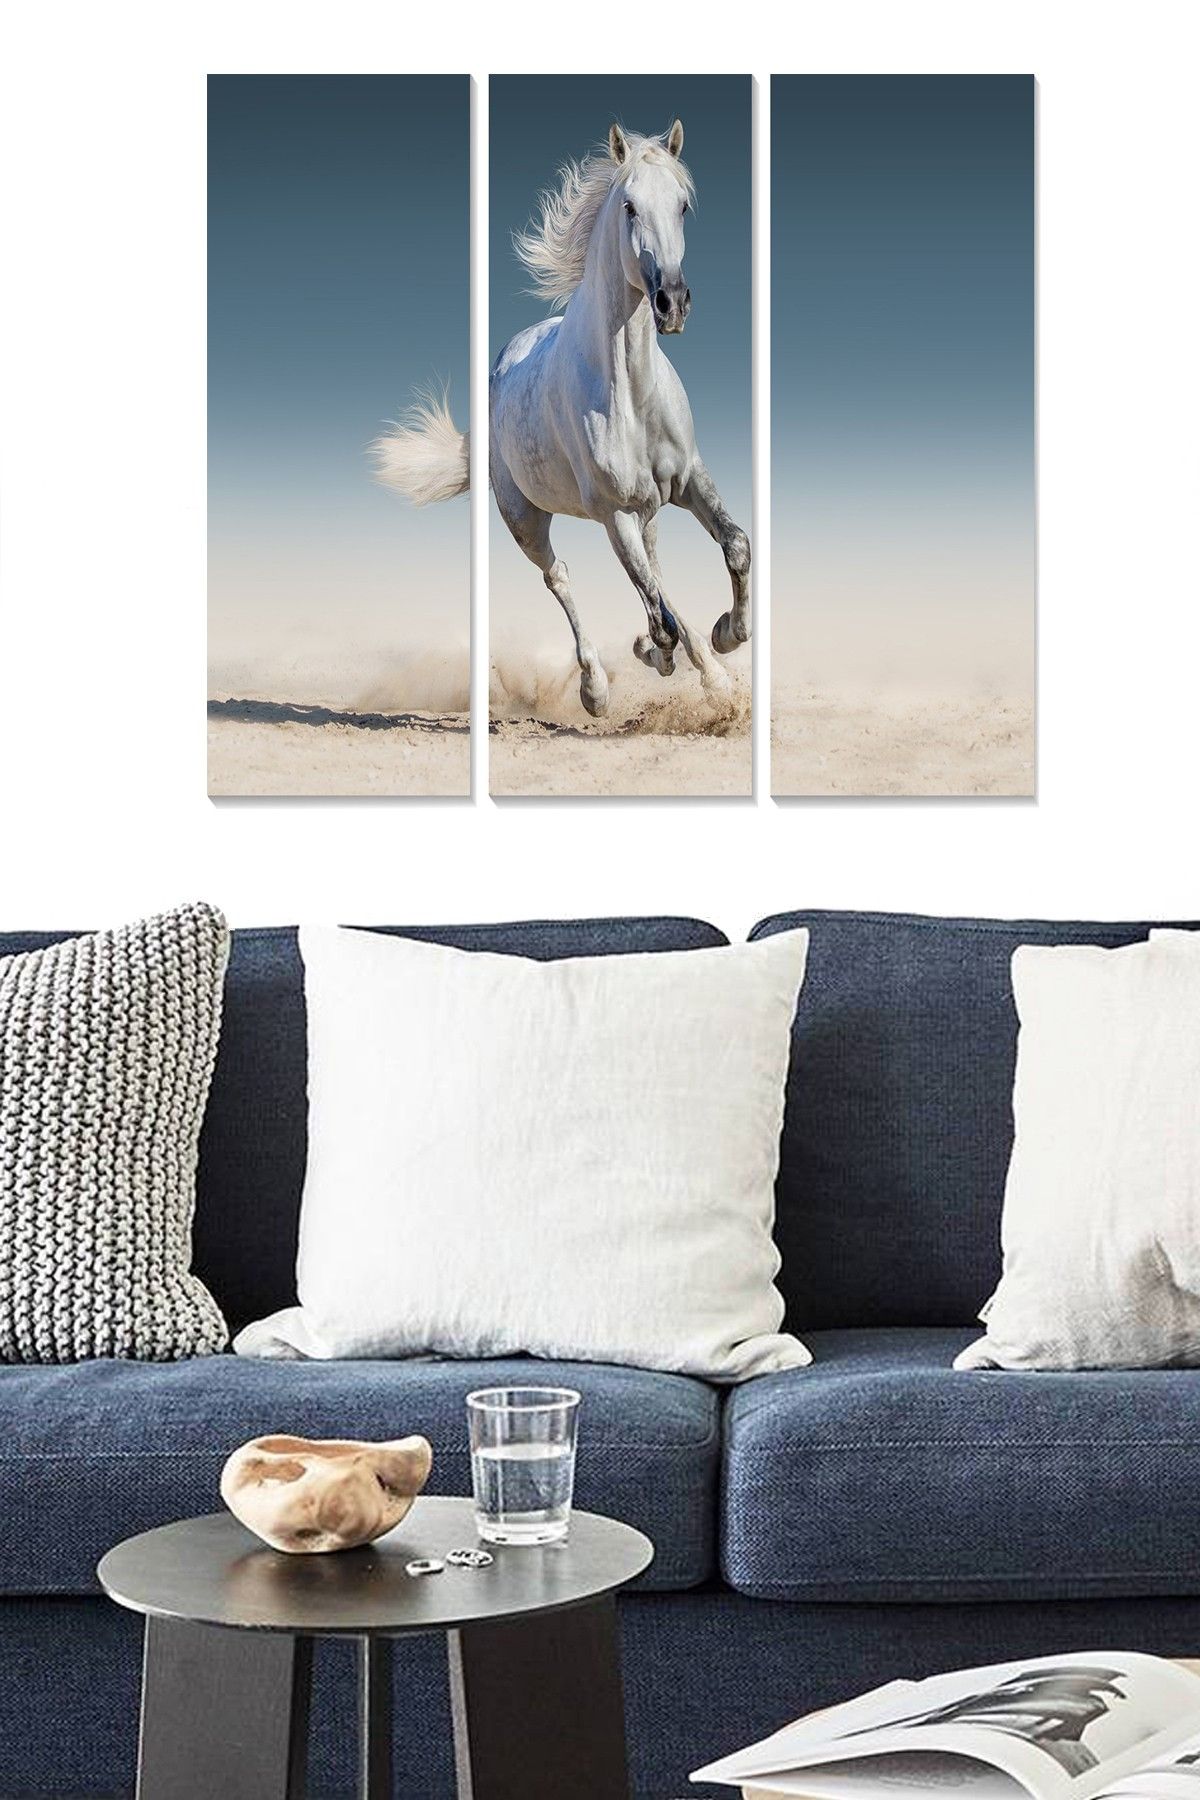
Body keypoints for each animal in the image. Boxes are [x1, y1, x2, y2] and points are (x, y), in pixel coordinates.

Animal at [372, 119, 750, 720]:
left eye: (684, 205)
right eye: (629, 206)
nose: (672, 302)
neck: (631, 390)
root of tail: (498, 369)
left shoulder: (689, 478)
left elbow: (734, 547)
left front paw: (726, 637)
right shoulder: (615, 512)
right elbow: (658, 614)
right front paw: (662, 653)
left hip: (648, 510)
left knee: (655, 575)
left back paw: (706, 671)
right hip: (526, 519)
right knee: (562, 578)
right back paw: (596, 688)